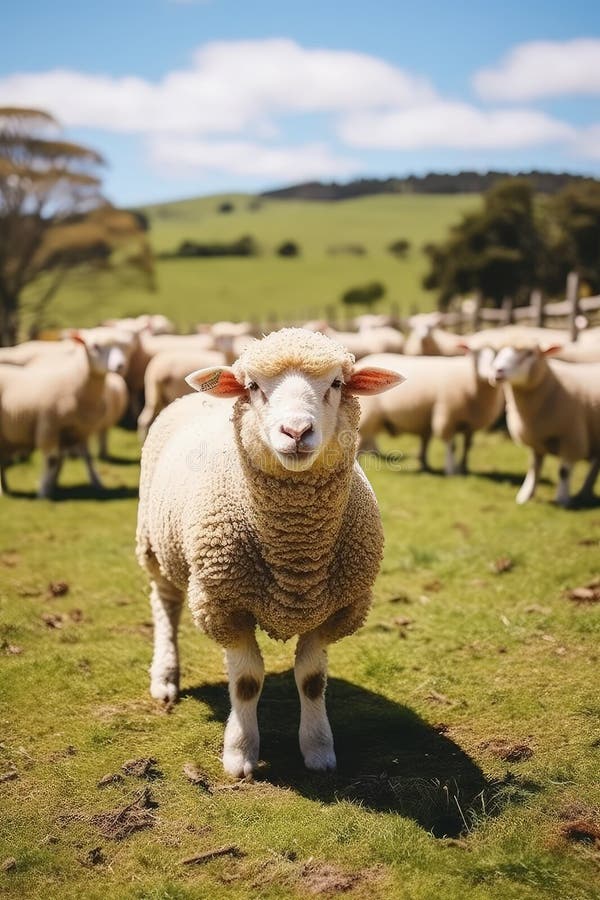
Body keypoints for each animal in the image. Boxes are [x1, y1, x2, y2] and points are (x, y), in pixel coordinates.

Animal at [0, 334, 126, 498]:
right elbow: (53, 460)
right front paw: (44, 491)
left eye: (121, 345)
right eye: (95, 346)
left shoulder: (80, 430)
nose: (120, 366)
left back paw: (5, 487)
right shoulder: (48, 427)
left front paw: (96, 482)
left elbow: (86, 457)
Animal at [136, 328, 403, 776]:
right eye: (253, 387)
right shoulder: (222, 605)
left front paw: (318, 749)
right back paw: (165, 676)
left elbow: (311, 679)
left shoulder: (340, 608)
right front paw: (240, 753)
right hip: (156, 546)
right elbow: (247, 681)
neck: (295, 549)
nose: (296, 431)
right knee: (166, 606)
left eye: (336, 384)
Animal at [358, 349, 504, 474]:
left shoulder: (470, 425)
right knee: (360, 442)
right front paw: (451, 471)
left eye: (495, 357)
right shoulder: (447, 416)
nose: (492, 374)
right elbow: (451, 445)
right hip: (369, 417)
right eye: (475, 357)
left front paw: (463, 468)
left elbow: (467, 446)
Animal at [490, 344, 600, 506]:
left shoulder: (572, 438)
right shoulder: (536, 441)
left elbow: (563, 471)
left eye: (529, 353)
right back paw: (584, 492)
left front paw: (562, 499)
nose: (498, 371)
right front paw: (525, 496)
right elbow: (534, 468)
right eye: (500, 352)